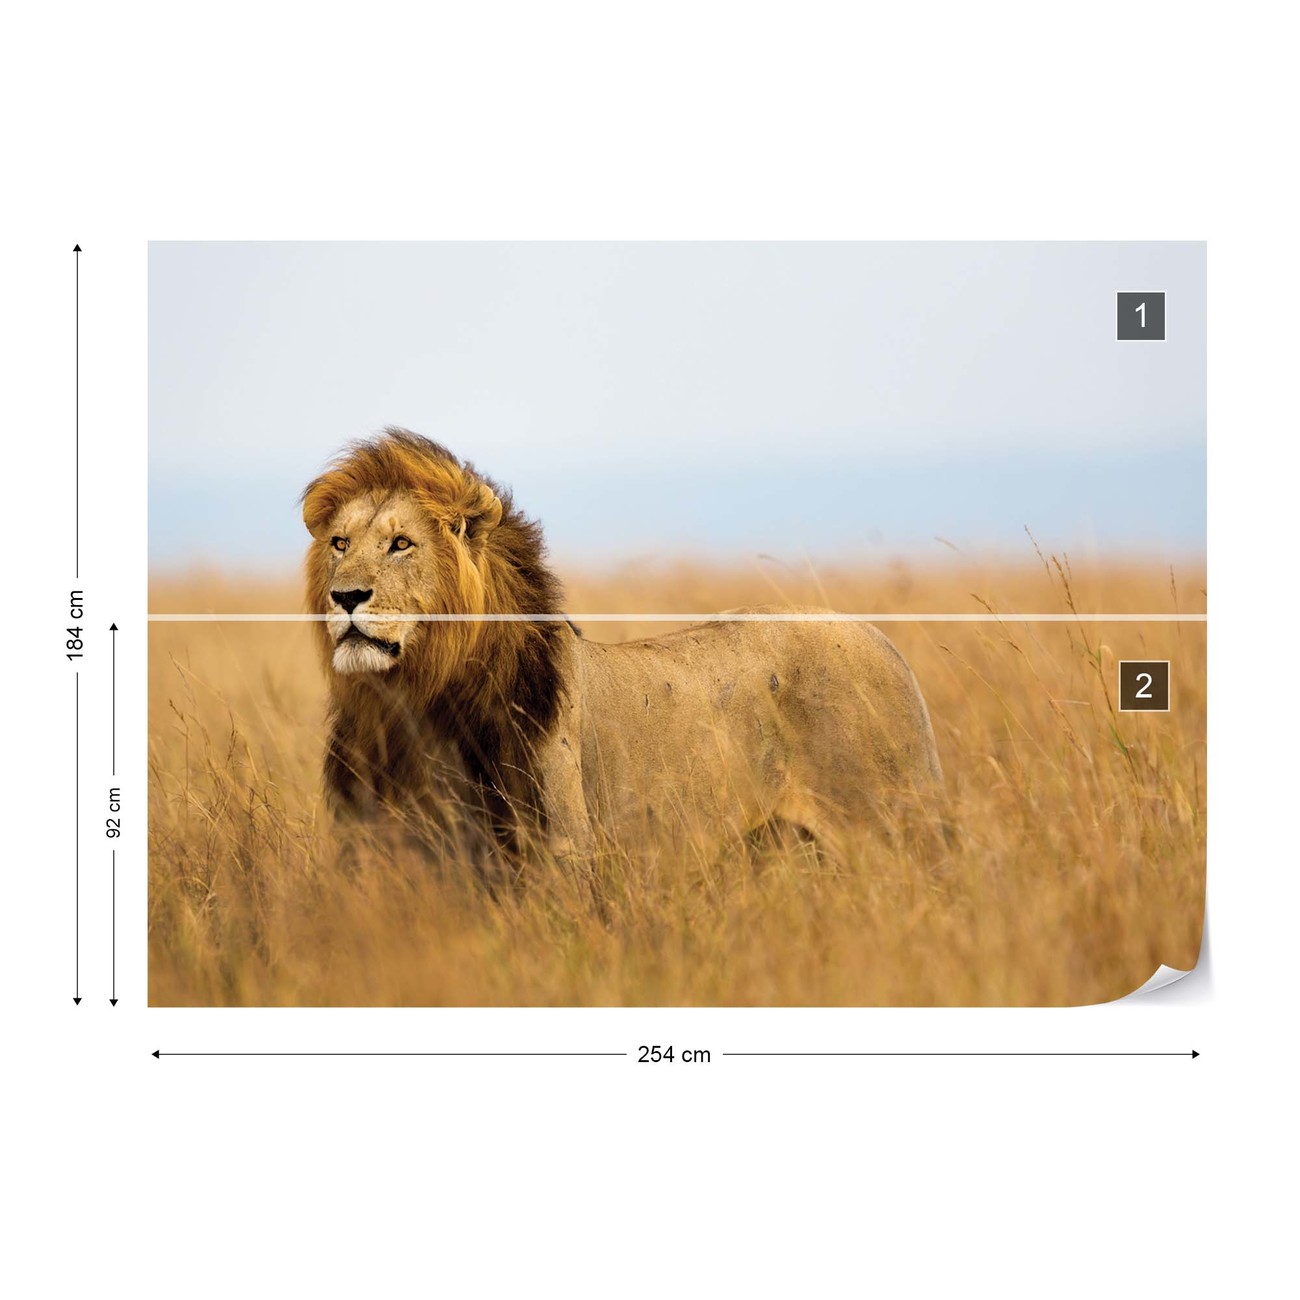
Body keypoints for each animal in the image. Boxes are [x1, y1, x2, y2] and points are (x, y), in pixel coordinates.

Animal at [302, 428, 944, 868]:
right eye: (340, 543)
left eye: (401, 544)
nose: (346, 596)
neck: (411, 702)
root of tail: (883, 641)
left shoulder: (559, 853)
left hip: (892, 831)